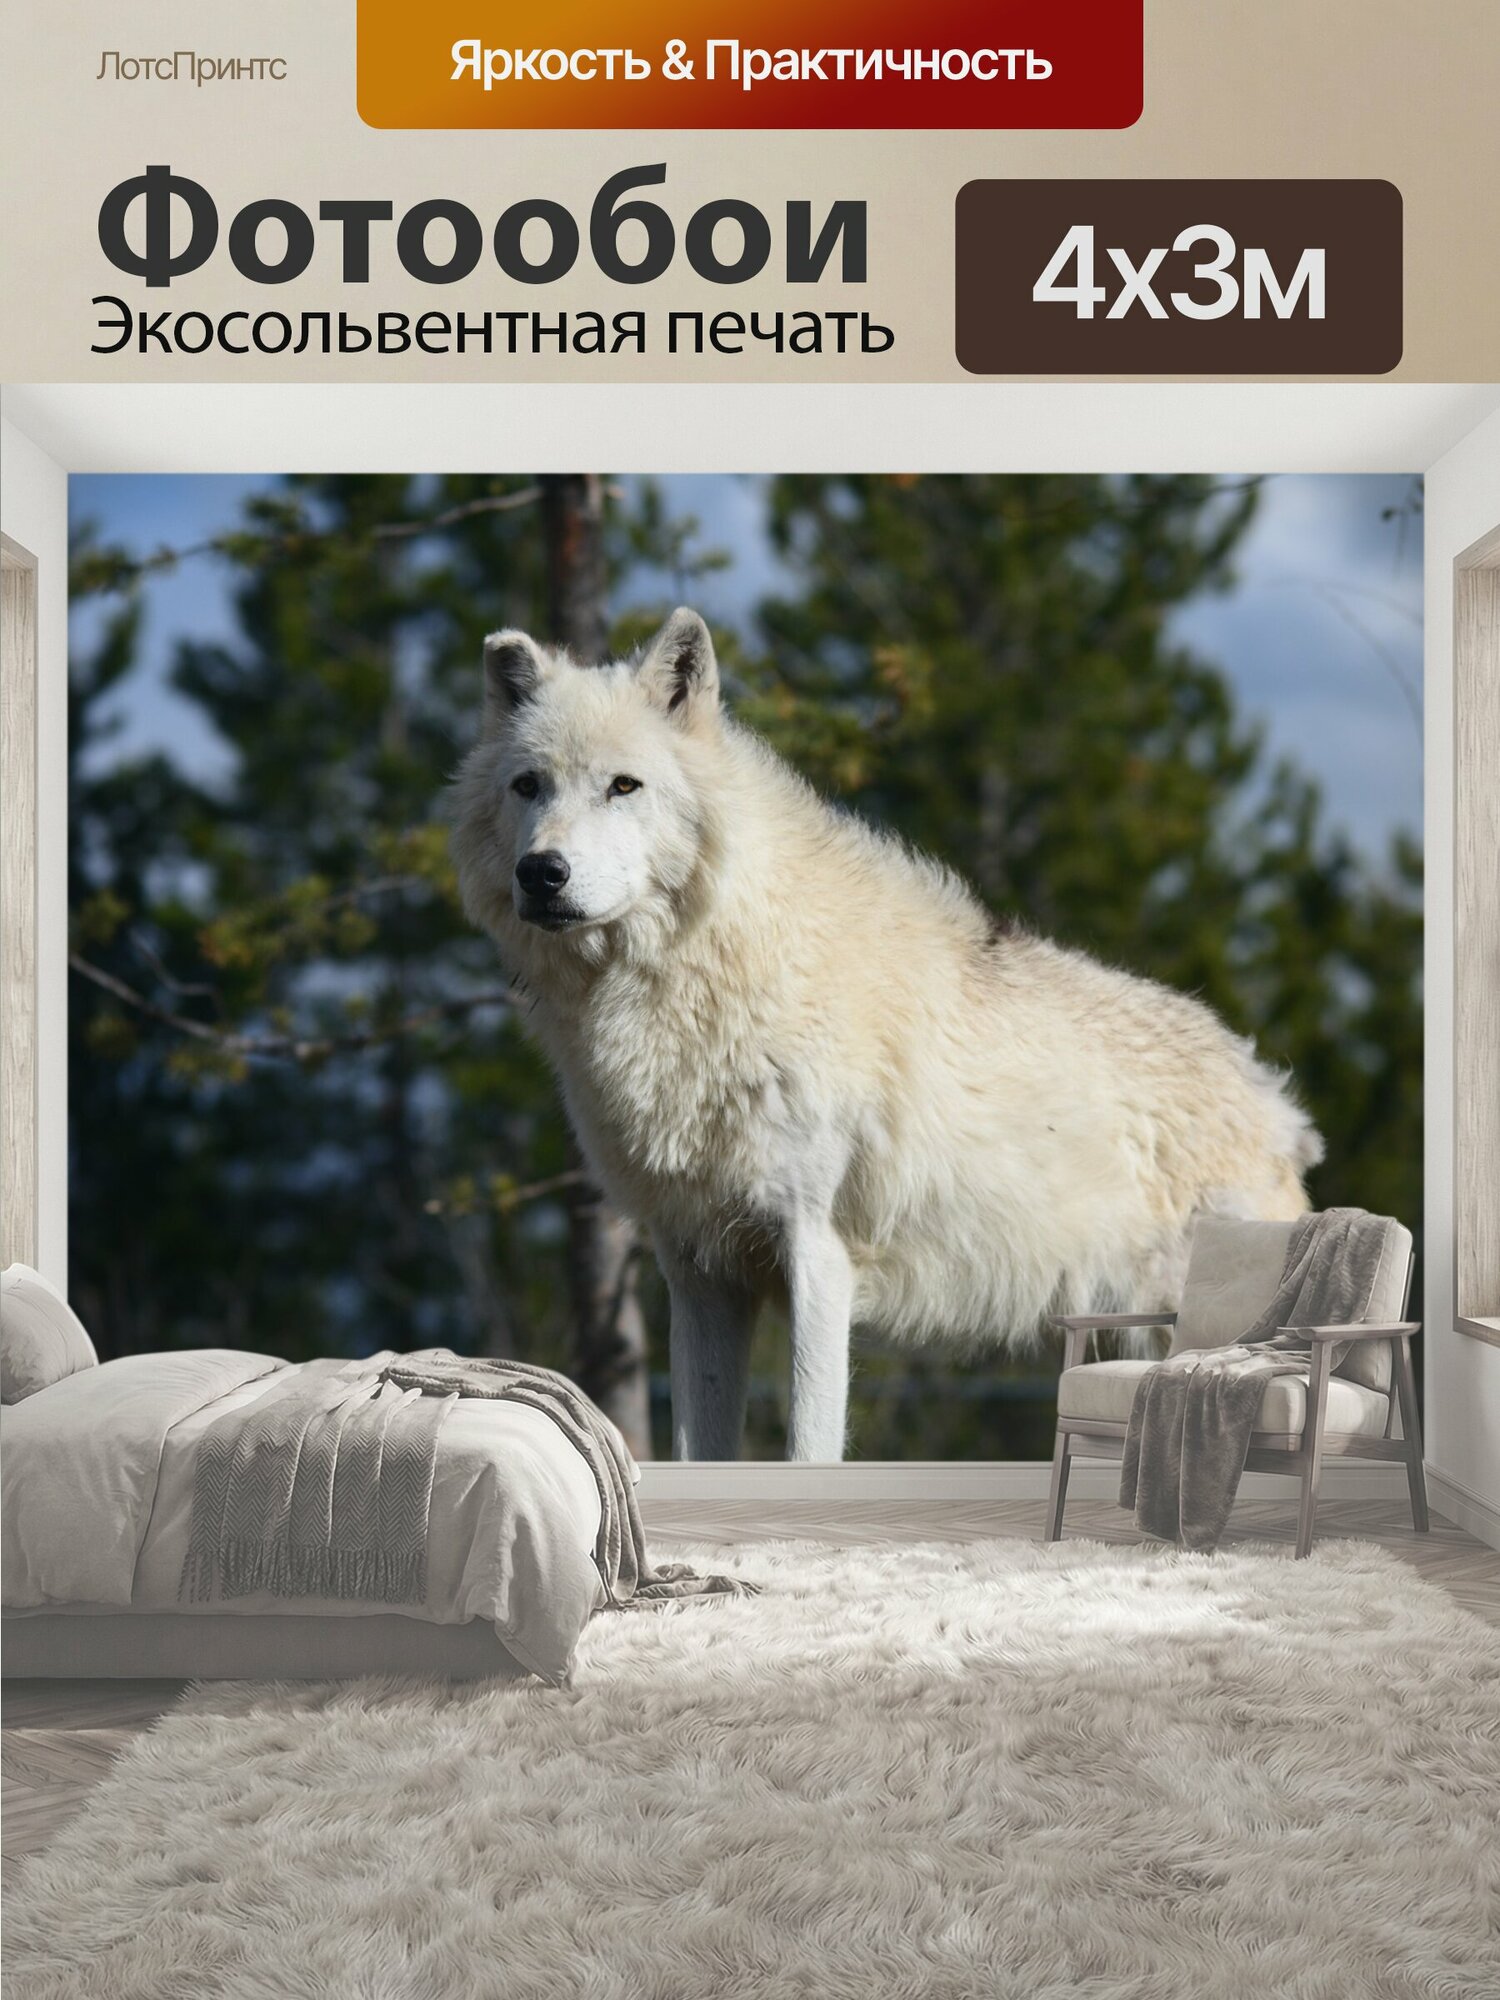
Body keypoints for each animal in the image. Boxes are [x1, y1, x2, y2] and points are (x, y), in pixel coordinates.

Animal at [450, 608, 1322, 1461]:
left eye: (623, 785)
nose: (543, 873)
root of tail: (1274, 1102)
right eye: (529, 786)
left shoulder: (817, 1257)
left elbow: (809, 1452)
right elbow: (703, 1452)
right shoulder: (700, 1271)